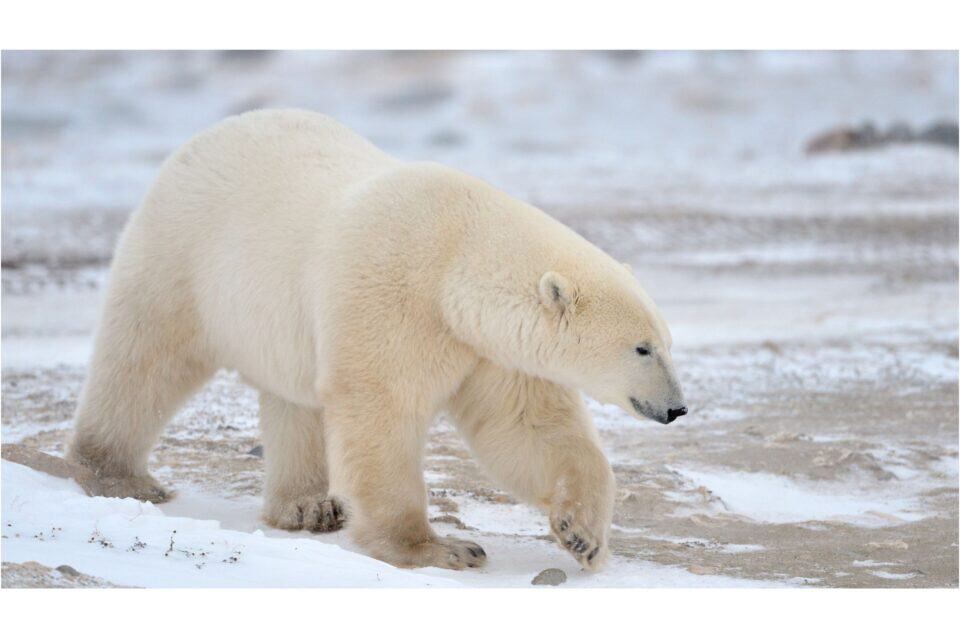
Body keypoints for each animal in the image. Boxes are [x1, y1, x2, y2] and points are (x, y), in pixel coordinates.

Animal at [67, 109, 686, 571]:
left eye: (666, 341)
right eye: (642, 348)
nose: (678, 408)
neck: (455, 260)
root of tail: (205, 135)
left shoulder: (488, 349)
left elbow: (528, 428)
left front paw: (583, 536)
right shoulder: (391, 293)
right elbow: (380, 413)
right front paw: (441, 548)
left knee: (294, 400)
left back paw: (307, 507)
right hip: (182, 253)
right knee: (144, 357)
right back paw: (116, 472)